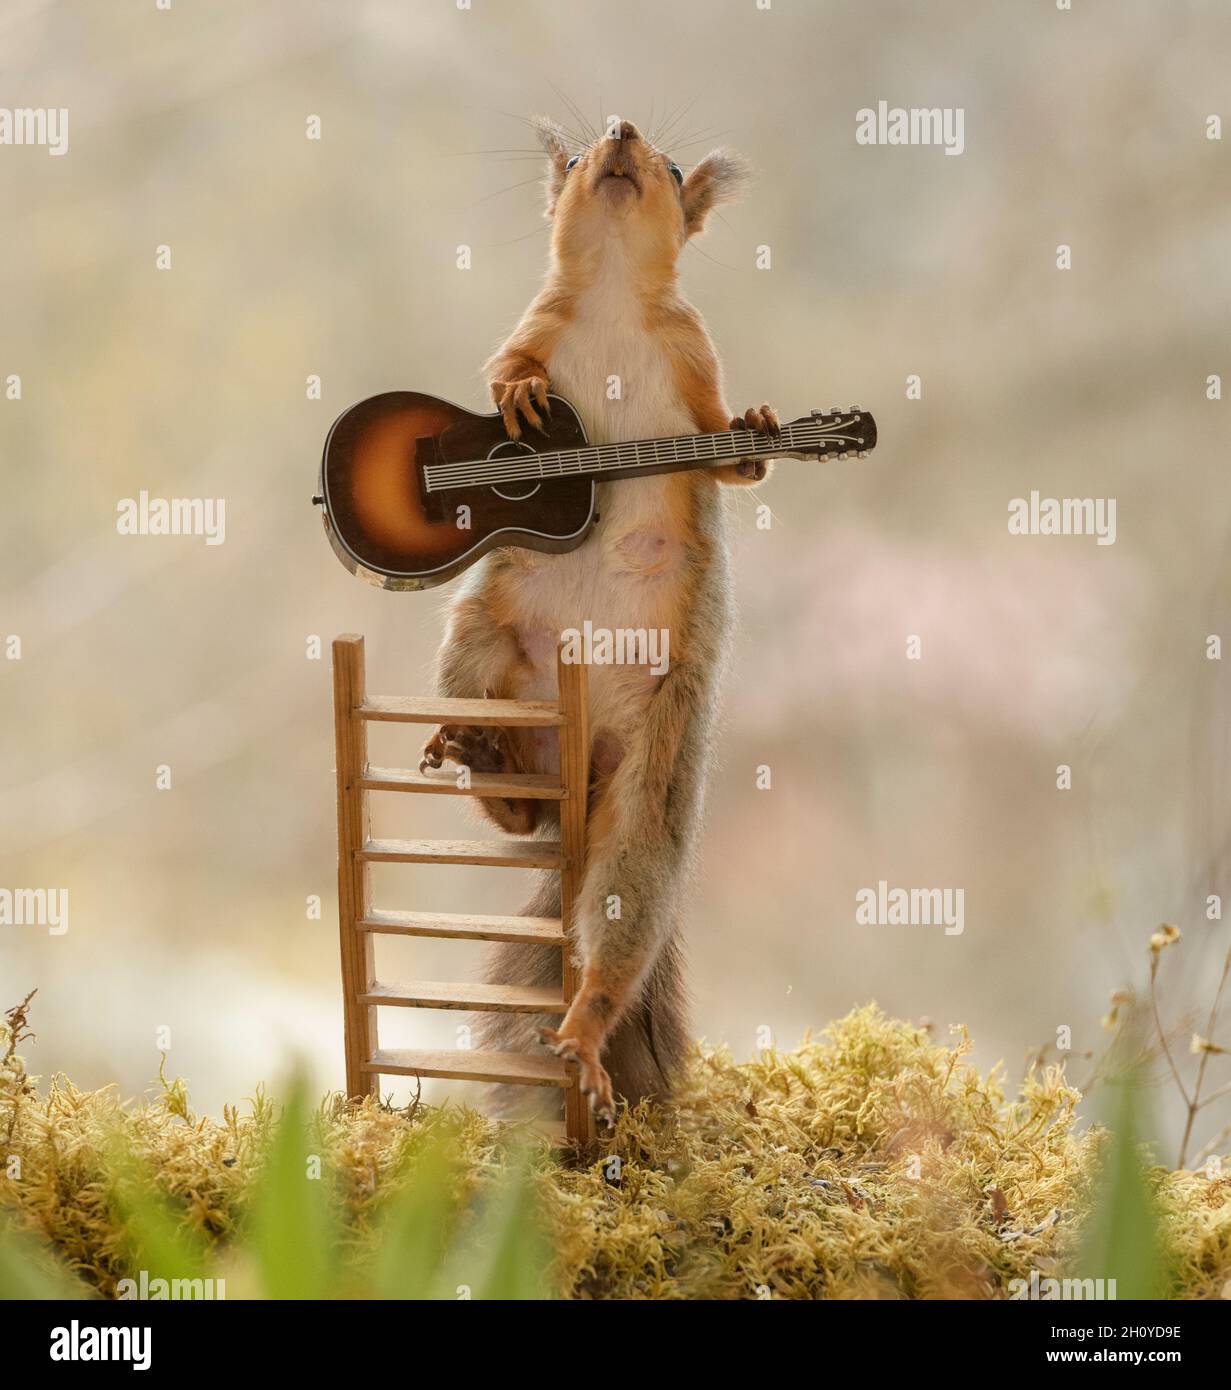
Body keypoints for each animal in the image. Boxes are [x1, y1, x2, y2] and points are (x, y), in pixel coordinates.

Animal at [420, 116, 778, 1125]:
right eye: (578, 161)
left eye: (669, 167)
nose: (620, 133)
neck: (616, 289)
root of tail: (573, 772)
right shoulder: (534, 322)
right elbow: (505, 366)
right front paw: (513, 396)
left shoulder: (695, 361)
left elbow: (720, 445)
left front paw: (758, 435)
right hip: (477, 644)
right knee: (508, 810)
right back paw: (483, 761)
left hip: (654, 777)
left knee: (620, 910)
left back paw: (583, 1028)